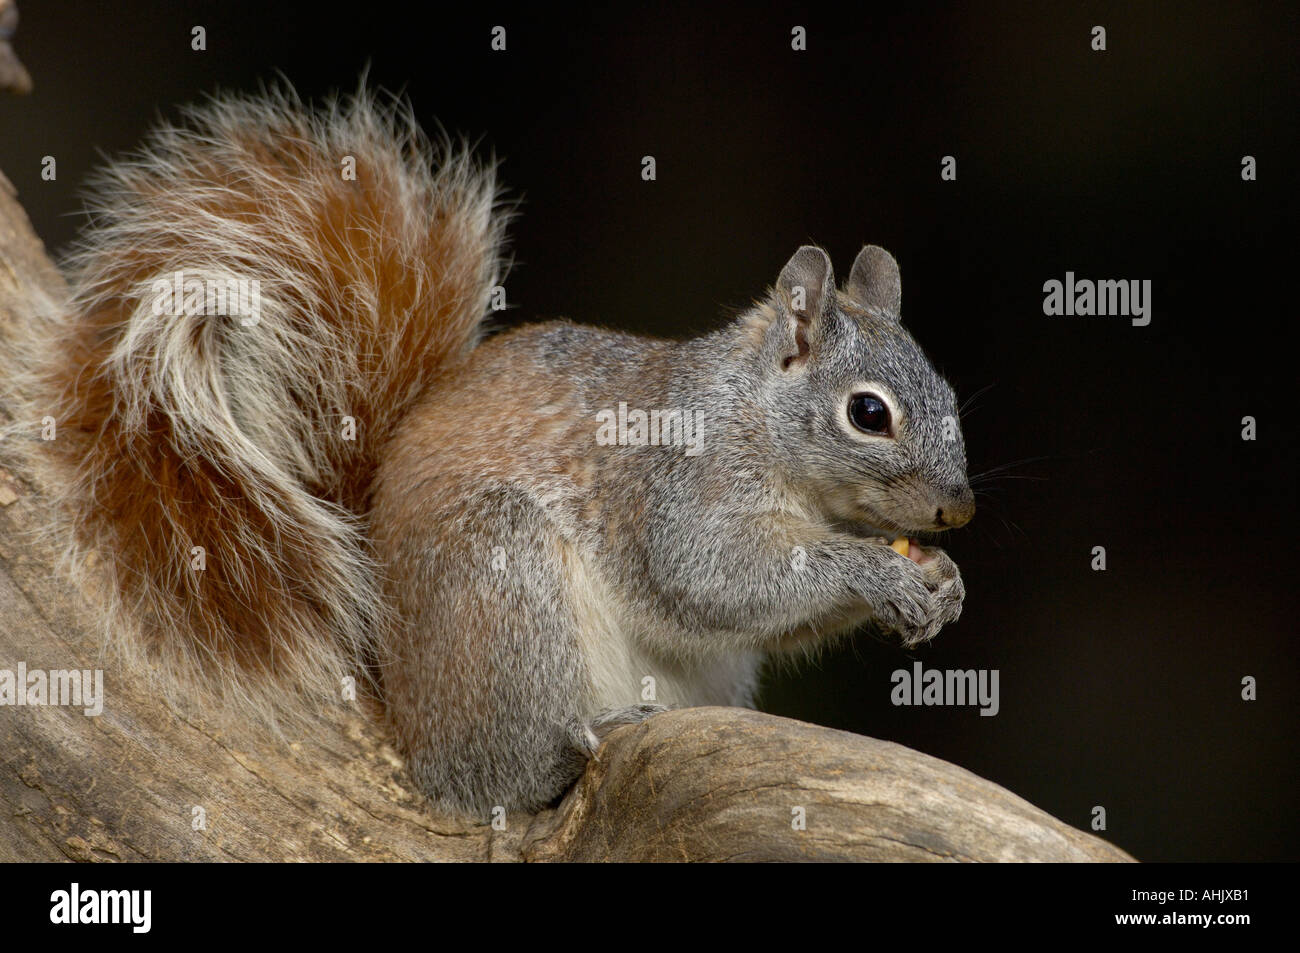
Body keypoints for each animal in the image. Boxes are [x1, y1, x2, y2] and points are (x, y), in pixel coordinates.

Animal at [4, 85, 974, 815]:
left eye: (952, 395)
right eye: (868, 413)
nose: (957, 508)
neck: (757, 423)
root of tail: (403, 702)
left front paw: (941, 582)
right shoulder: (677, 488)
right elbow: (711, 577)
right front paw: (875, 569)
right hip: (501, 590)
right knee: (496, 780)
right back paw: (571, 751)